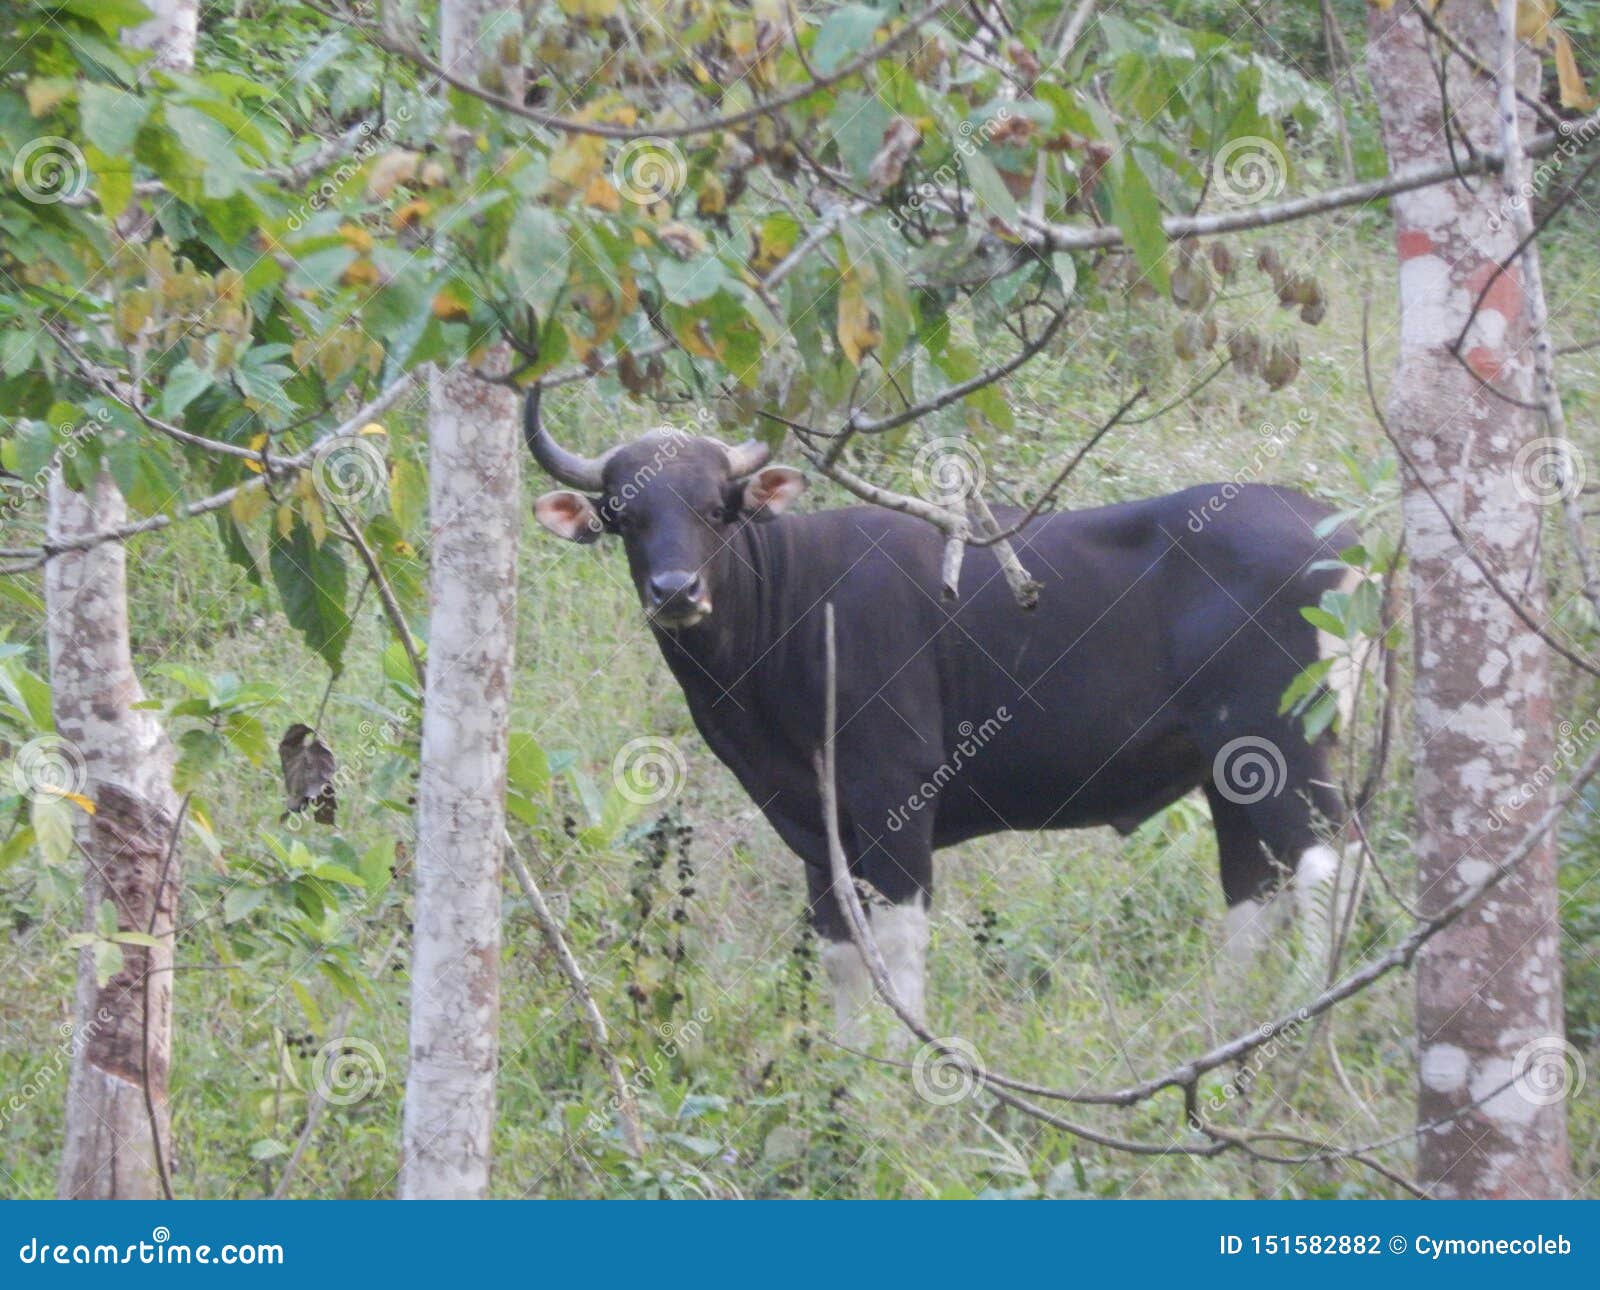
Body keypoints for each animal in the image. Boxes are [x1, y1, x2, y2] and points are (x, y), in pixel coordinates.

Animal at [526, 389, 1360, 1043]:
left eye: (715, 510)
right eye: (626, 516)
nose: (675, 591)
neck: (793, 608)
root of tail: (1338, 531)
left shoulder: (895, 794)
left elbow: (898, 942)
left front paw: (902, 1061)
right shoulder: (811, 821)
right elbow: (841, 951)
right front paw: (846, 1066)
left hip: (1280, 741)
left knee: (1327, 864)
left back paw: (1302, 1017)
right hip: (1227, 769)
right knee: (1254, 892)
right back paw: (1225, 1026)